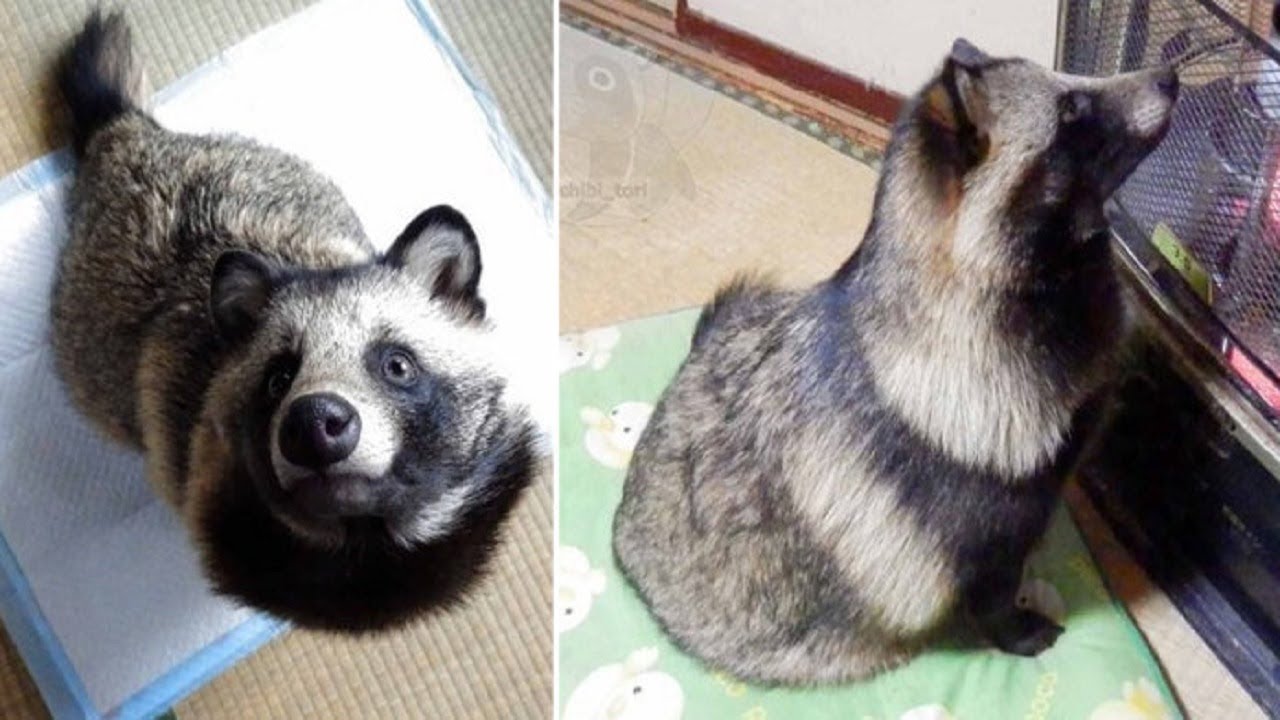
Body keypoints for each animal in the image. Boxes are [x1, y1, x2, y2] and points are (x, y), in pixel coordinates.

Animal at [613, 39, 1177, 683]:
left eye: (1069, 85)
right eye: (1072, 111)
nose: (1170, 76)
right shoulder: (983, 503)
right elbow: (991, 584)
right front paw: (1016, 627)